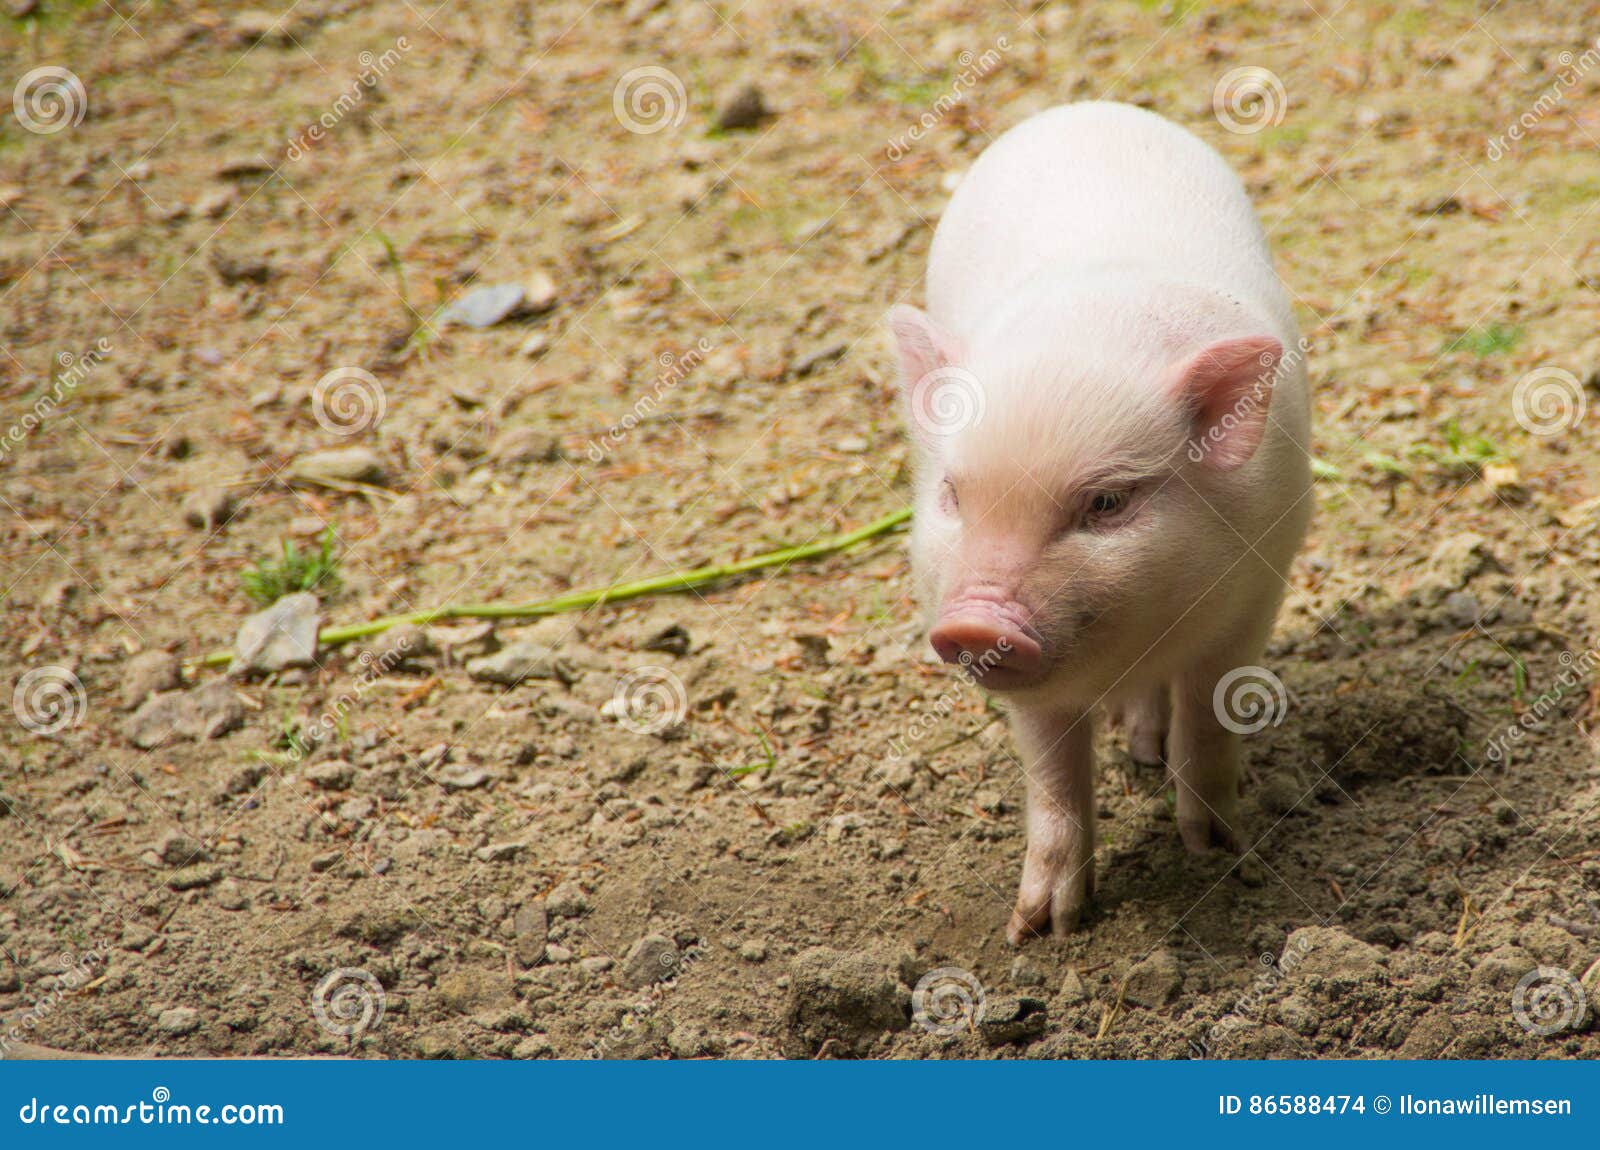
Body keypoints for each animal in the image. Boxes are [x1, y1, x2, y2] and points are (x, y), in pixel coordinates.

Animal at [888, 102, 1311, 944]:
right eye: (953, 494)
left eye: (1107, 503)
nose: (976, 622)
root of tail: (1084, 109)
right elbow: (1053, 774)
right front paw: (1040, 929)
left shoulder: (1260, 589)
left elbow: (1209, 719)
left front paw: (1220, 852)